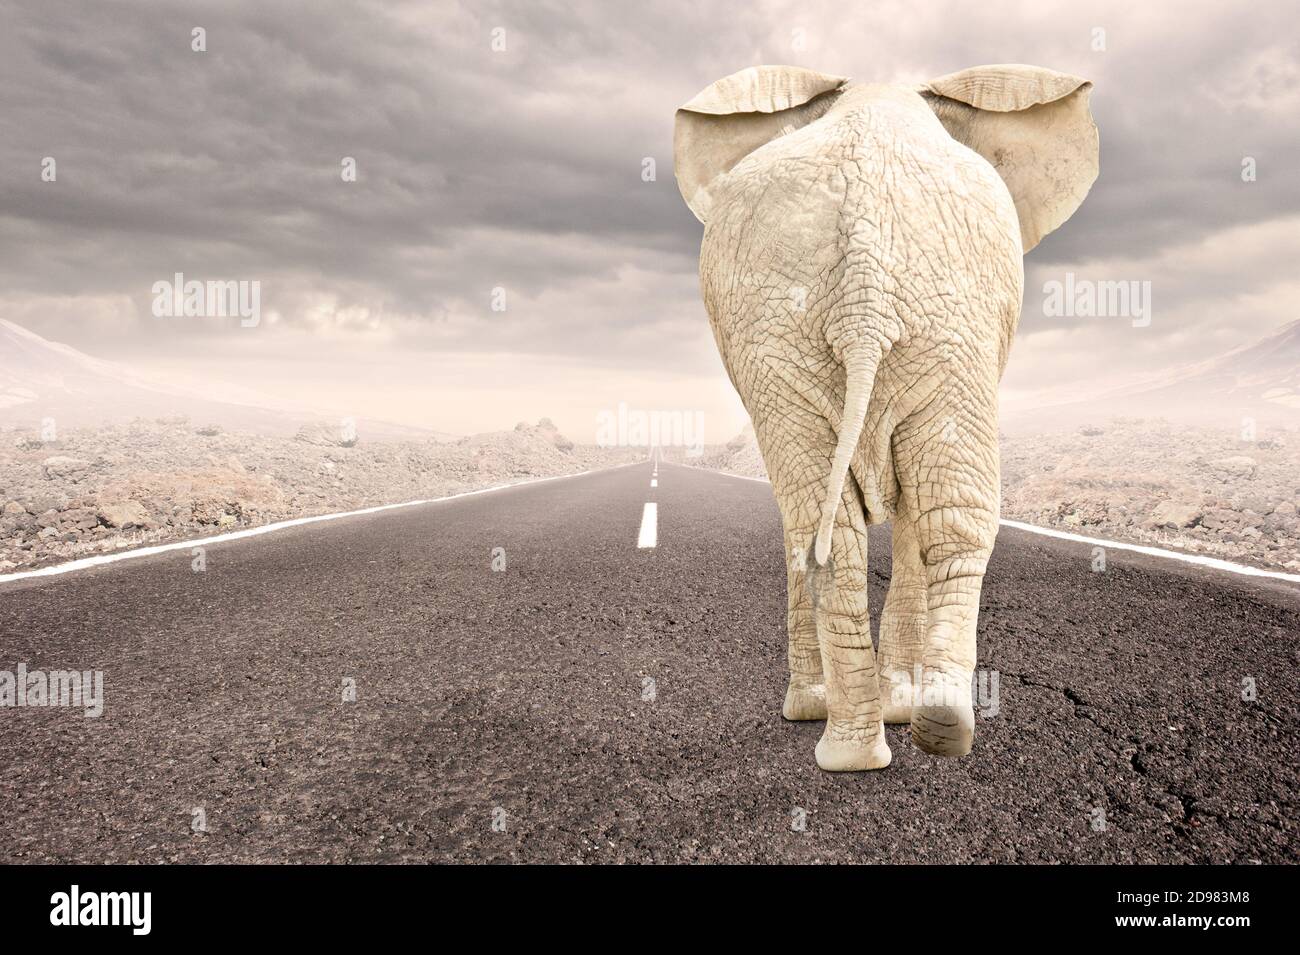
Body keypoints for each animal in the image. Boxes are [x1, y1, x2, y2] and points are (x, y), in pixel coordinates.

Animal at [673, 64, 1098, 771]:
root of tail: (863, 290)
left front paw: (839, 708)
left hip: (897, 322)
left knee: (847, 530)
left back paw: (880, 742)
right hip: (913, 322)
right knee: (920, 520)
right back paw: (903, 737)